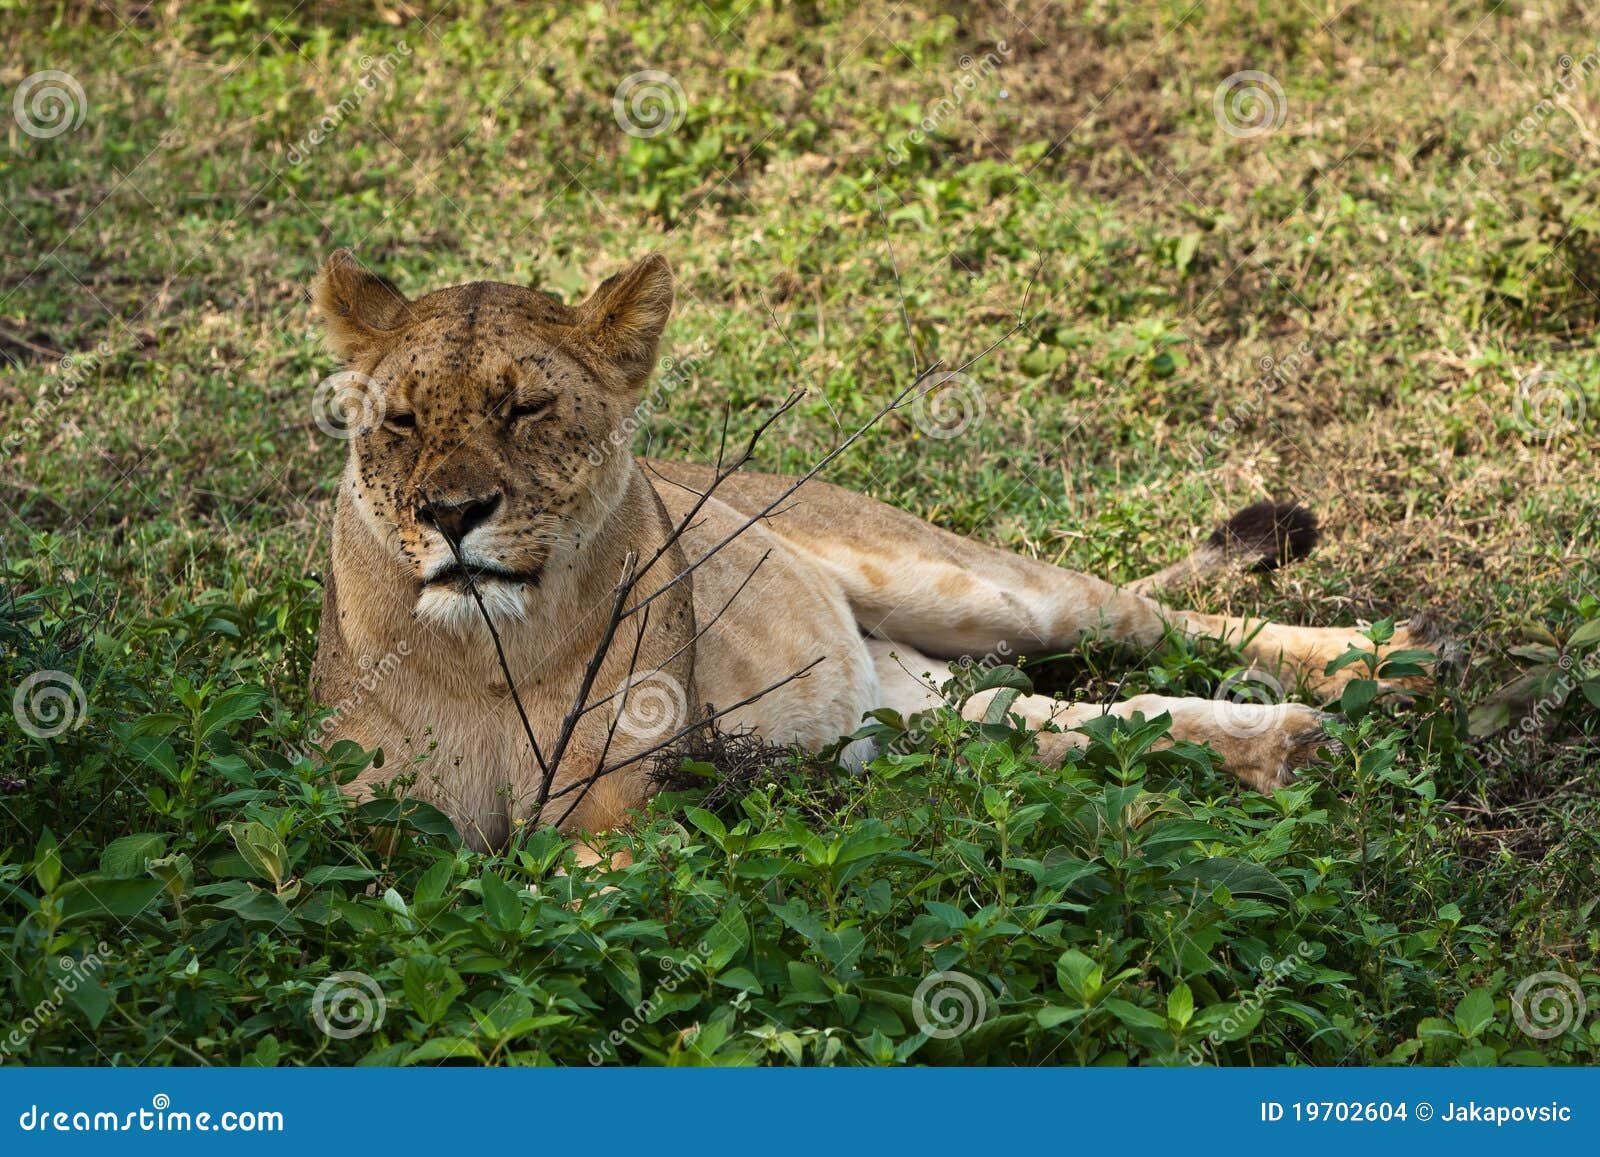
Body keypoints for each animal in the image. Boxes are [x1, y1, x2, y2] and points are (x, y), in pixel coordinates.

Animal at [308, 249, 1435, 855]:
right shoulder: (366, 835)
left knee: (1149, 617)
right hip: (916, 724)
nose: (452, 511)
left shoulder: (623, 816)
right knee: (1082, 722)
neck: (489, 656)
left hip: (967, 584)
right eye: (400, 420)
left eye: (527, 407)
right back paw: (1282, 746)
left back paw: (1385, 662)